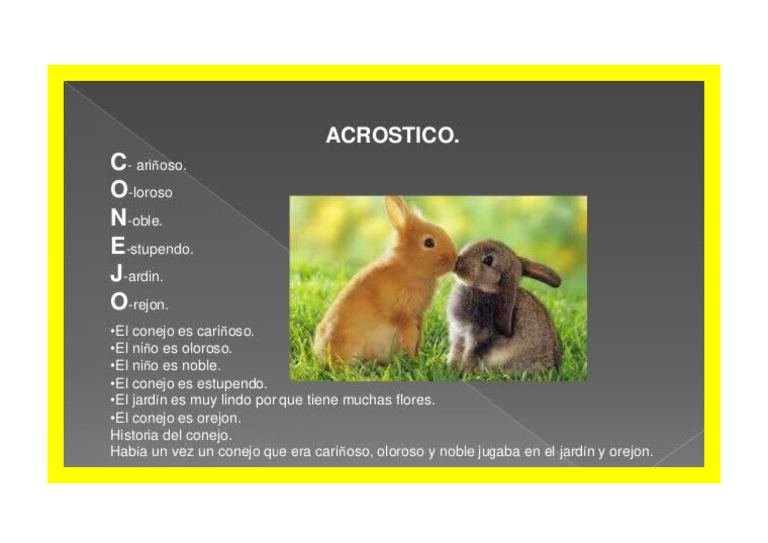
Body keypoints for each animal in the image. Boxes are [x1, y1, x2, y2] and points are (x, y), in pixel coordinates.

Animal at [314, 196, 458, 364]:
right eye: (429, 242)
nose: (455, 259)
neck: (408, 267)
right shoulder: (406, 317)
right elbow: (410, 338)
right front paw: (413, 360)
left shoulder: (418, 316)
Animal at [447, 239, 562, 374]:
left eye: (488, 260)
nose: (457, 262)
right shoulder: (458, 332)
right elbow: (456, 350)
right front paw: (450, 367)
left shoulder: (478, 336)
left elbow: (471, 354)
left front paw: (464, 372)